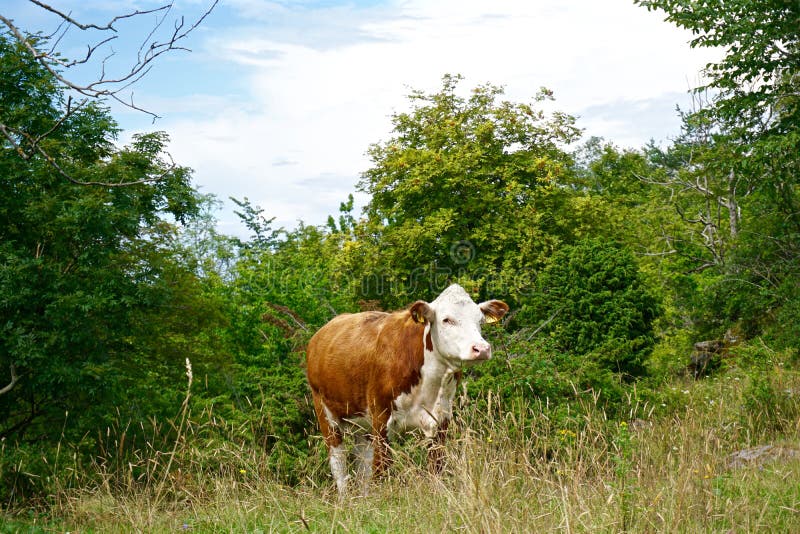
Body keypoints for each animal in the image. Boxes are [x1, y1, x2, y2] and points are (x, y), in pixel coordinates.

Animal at [306, 284, 509, 495]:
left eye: (480, 320)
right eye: (446, 319)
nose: (481, 348)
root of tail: (320, 335)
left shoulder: (441, 420)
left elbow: (436, 471)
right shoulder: (381, 420)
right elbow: (380, 472)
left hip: (363, 425)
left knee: (363, 469)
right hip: (326, 415)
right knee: (340, 467)